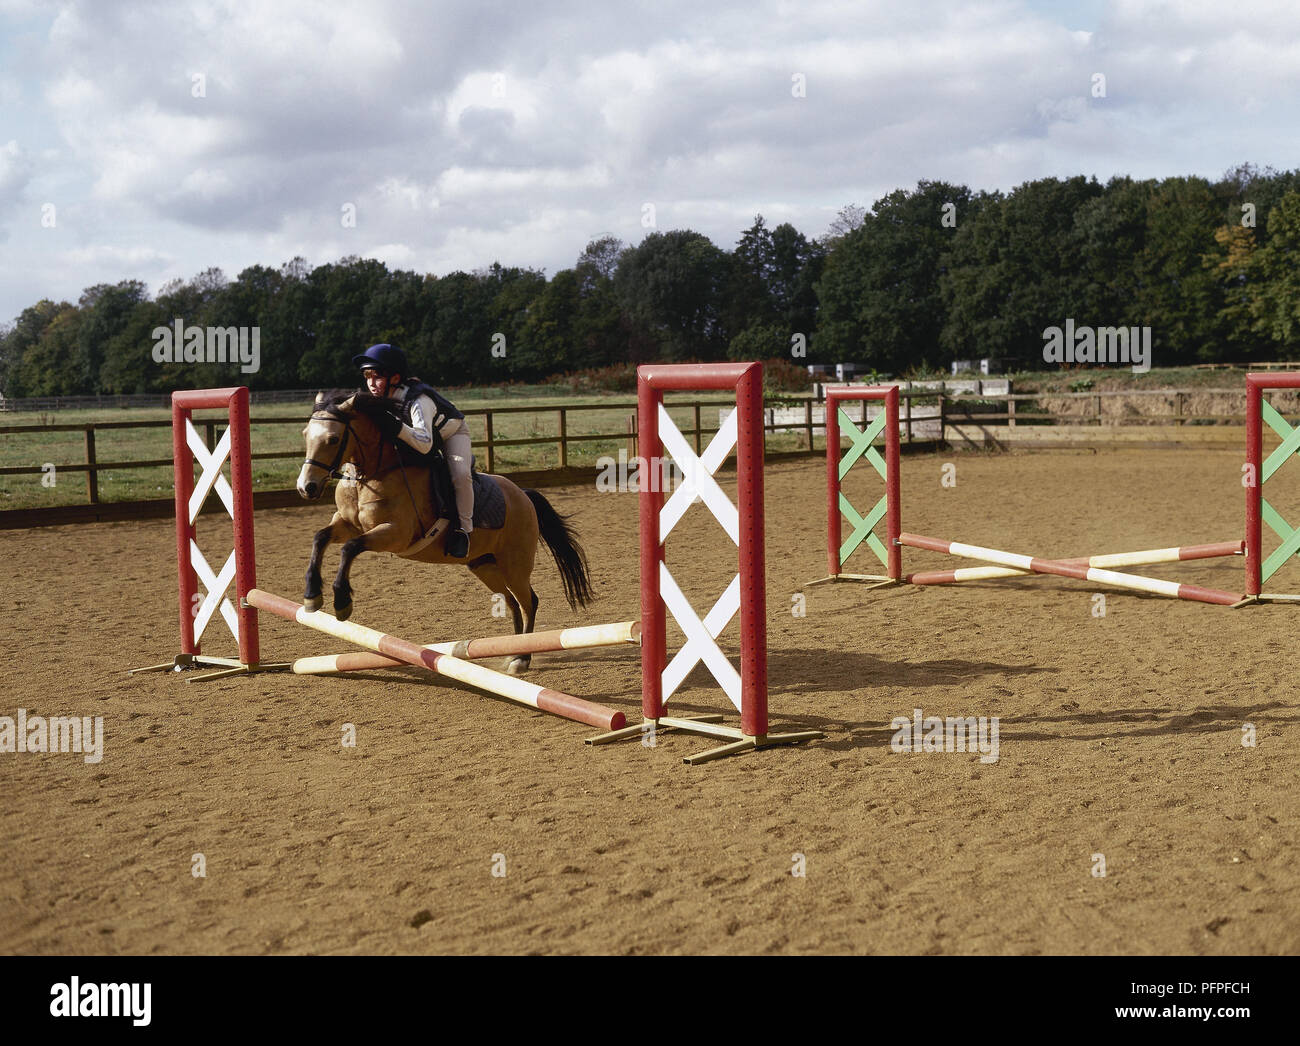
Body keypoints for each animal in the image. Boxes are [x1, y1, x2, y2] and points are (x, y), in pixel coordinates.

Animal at [295, 390, 594, 675]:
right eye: (306, 435)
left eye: (333, 439)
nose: (306, 487)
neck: (372, 475)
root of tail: (524, 495)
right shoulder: (346, 524)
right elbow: (320, 537)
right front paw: (312, 595)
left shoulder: (395, 534)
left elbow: (351, 547)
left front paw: (342, 601)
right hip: (484, 565)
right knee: (510, 602)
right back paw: (511, 653)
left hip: (514, 565)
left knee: (528, 601)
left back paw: (521, 659)